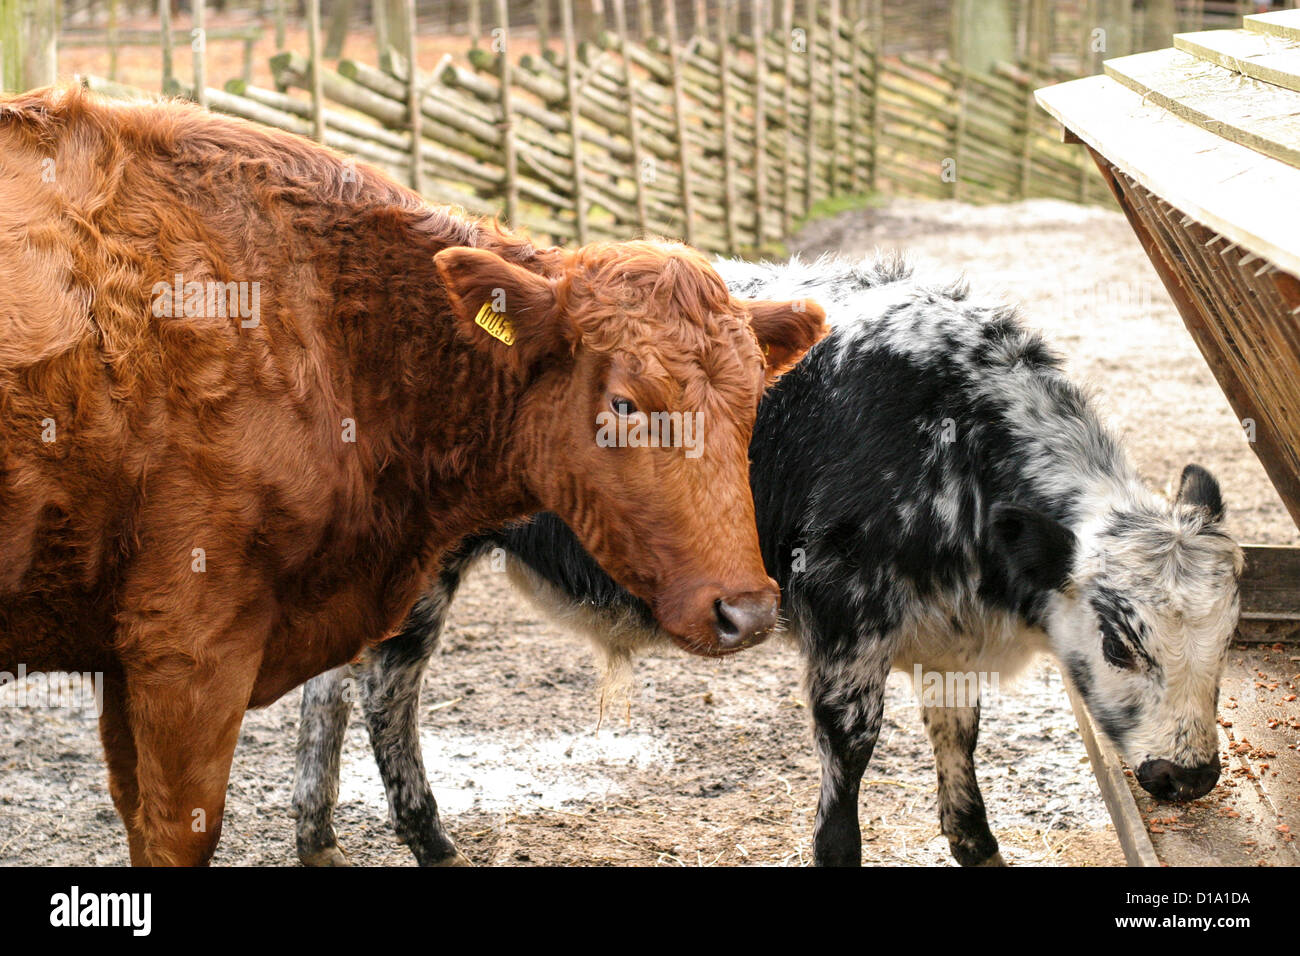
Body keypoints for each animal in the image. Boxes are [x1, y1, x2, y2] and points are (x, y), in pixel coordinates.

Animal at [0, 87, 826, 865]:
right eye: (625, 403)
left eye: (753, 399)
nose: (747, 610)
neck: (325, 326)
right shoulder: (185, 651)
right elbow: (176, 832)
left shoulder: (126, 660)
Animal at [293, 254, 1243, 867]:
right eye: (1120, 642)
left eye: (1228, 641)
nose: (1192, 776)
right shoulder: (842, 607)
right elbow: (849, 757)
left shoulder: (944, 631)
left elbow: (957, 738)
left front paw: (978, 846)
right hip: (425, 568)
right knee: (385, 689)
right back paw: (431, 840)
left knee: (328, 682)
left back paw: (316, 836)